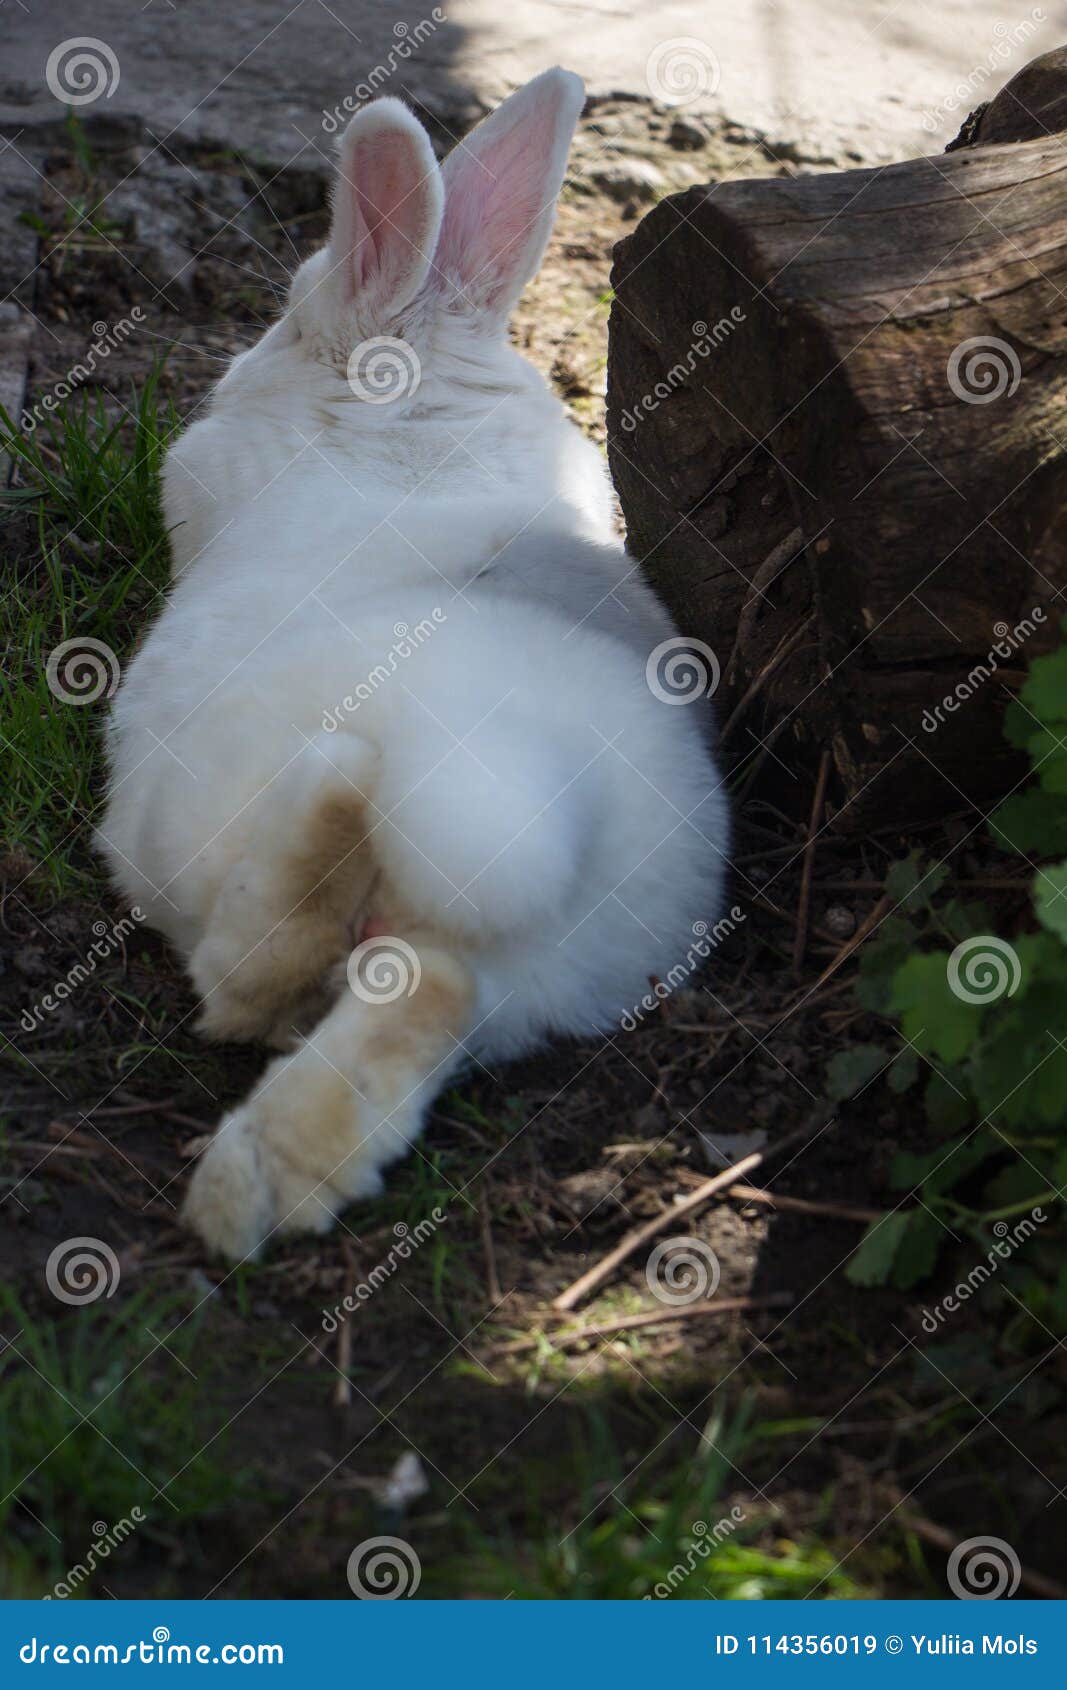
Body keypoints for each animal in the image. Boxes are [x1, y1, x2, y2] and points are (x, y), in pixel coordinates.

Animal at [98, 67, 731, 1262]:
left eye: (291, 317)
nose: (239, 367)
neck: (417, 417)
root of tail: (548, 806)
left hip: (194, 821)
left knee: (249, 975)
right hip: (509, 978)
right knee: (419, 1000)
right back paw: (254, 1189)